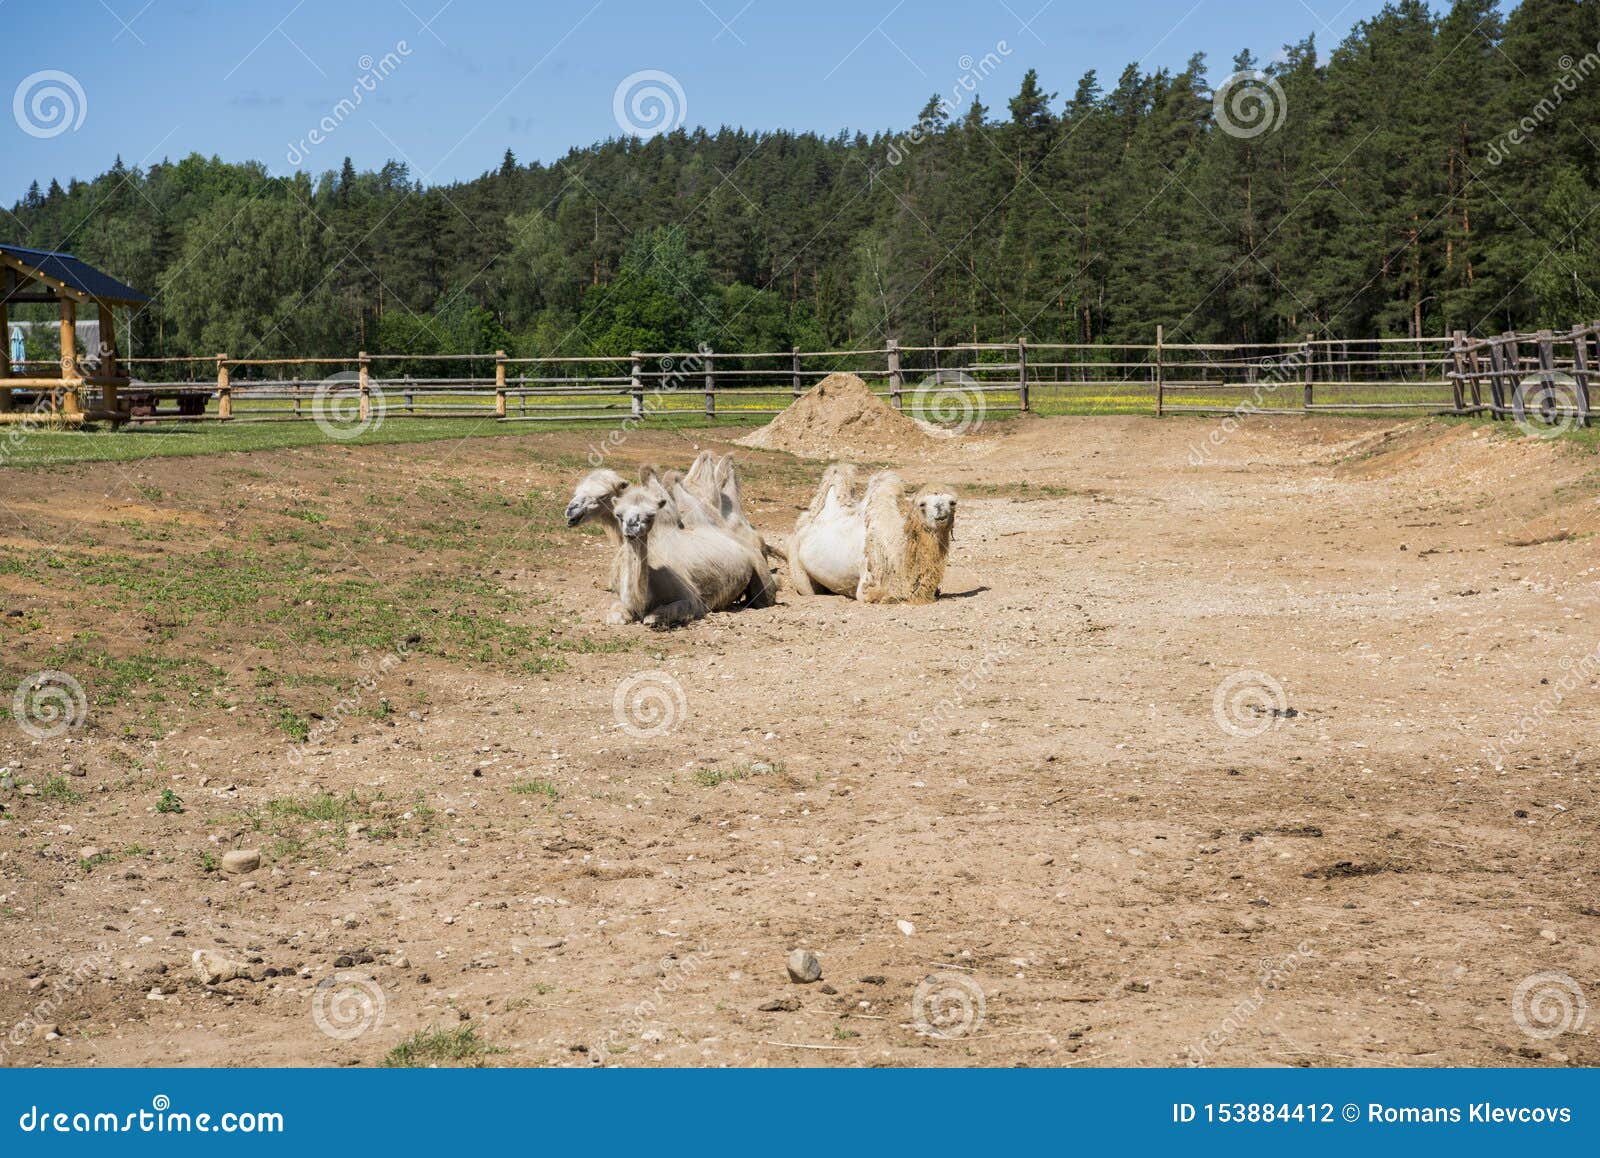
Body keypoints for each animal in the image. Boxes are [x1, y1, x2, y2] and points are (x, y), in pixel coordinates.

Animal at [606, 481, 777, 628]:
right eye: (618, 515)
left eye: (650, 515)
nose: (631, 527)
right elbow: (614, 615)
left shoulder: (693, 600)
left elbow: (654, 617)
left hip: (758, 565)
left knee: (764, 599)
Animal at [789, 464, 956, 604]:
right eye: (922, 504)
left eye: (952, 502)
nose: (941, 515)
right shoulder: (866, 583)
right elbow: (881, 595)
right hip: (797, 564)